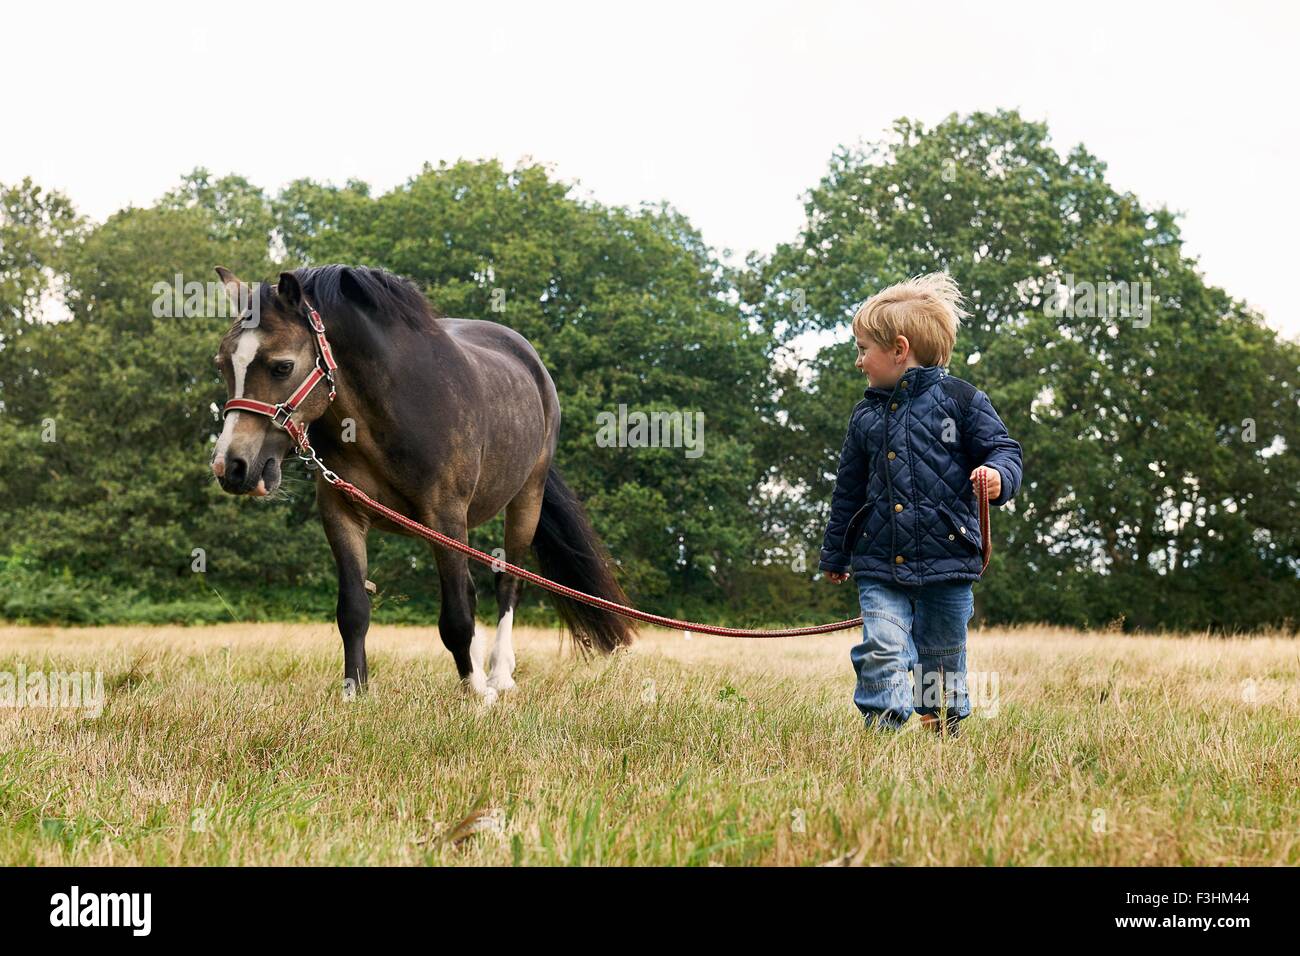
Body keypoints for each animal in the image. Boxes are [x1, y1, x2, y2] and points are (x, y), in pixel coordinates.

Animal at [209, 264, 635, 703]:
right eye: (223, 364)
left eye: (281, 366)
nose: (233, 466)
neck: (390, 410)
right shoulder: (341, 511)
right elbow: (353, 610)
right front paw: (354, 694)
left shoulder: (445, 515)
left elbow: (457, 617)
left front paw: (476, 696)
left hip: (526, 498)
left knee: (508, 583)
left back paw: (498, 675)